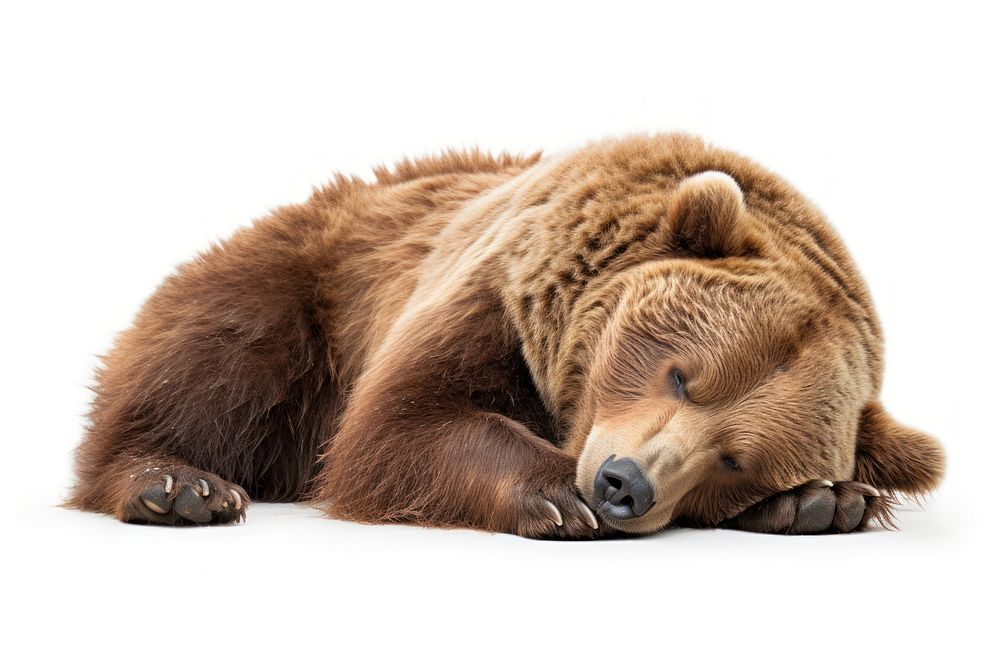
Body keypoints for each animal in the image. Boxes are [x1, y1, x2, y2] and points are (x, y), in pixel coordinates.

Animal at [66, 133, 945, 538]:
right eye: (680, 371)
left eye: (737, 458)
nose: (622, 483)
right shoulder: (491, 292)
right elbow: (400, 423)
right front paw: (555, 491)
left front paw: (823, 500)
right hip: (291, 287)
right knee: (211, 365)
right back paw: (177, 483)